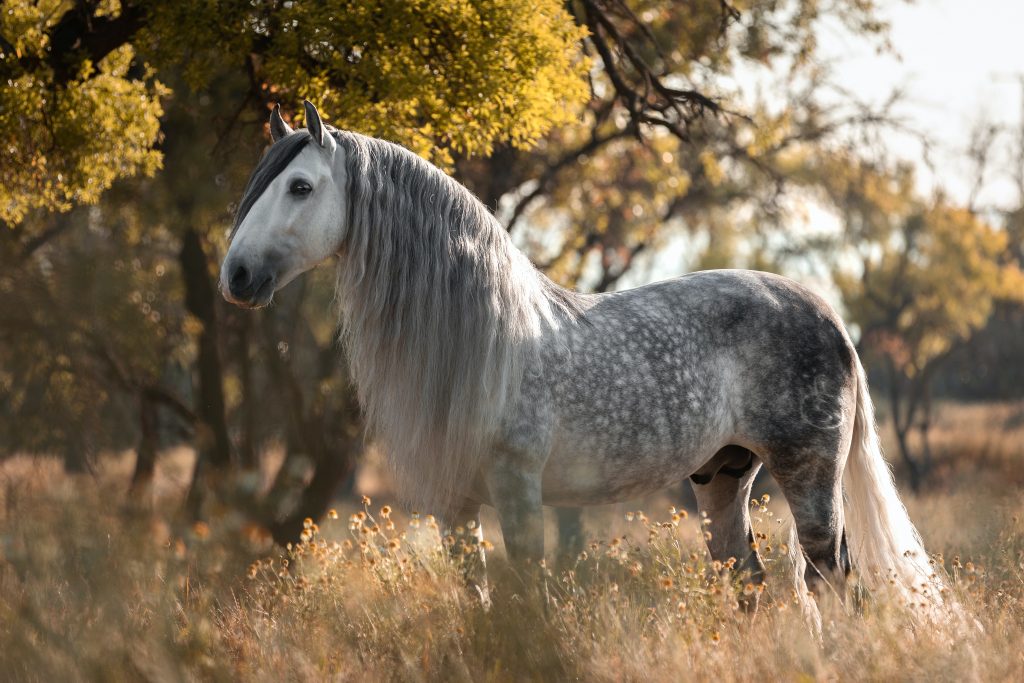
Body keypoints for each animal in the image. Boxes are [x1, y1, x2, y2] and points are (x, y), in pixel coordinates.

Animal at [220, 101, 944, 613]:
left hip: (809, 475)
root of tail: (826, 312)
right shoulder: (455, 504)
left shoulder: (518, 490)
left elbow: (528, 601)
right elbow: (480, 602)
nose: (236, 276)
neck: (484, 338)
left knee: (832, 583)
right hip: (723, 476)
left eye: (301, 187)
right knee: (749, 581)